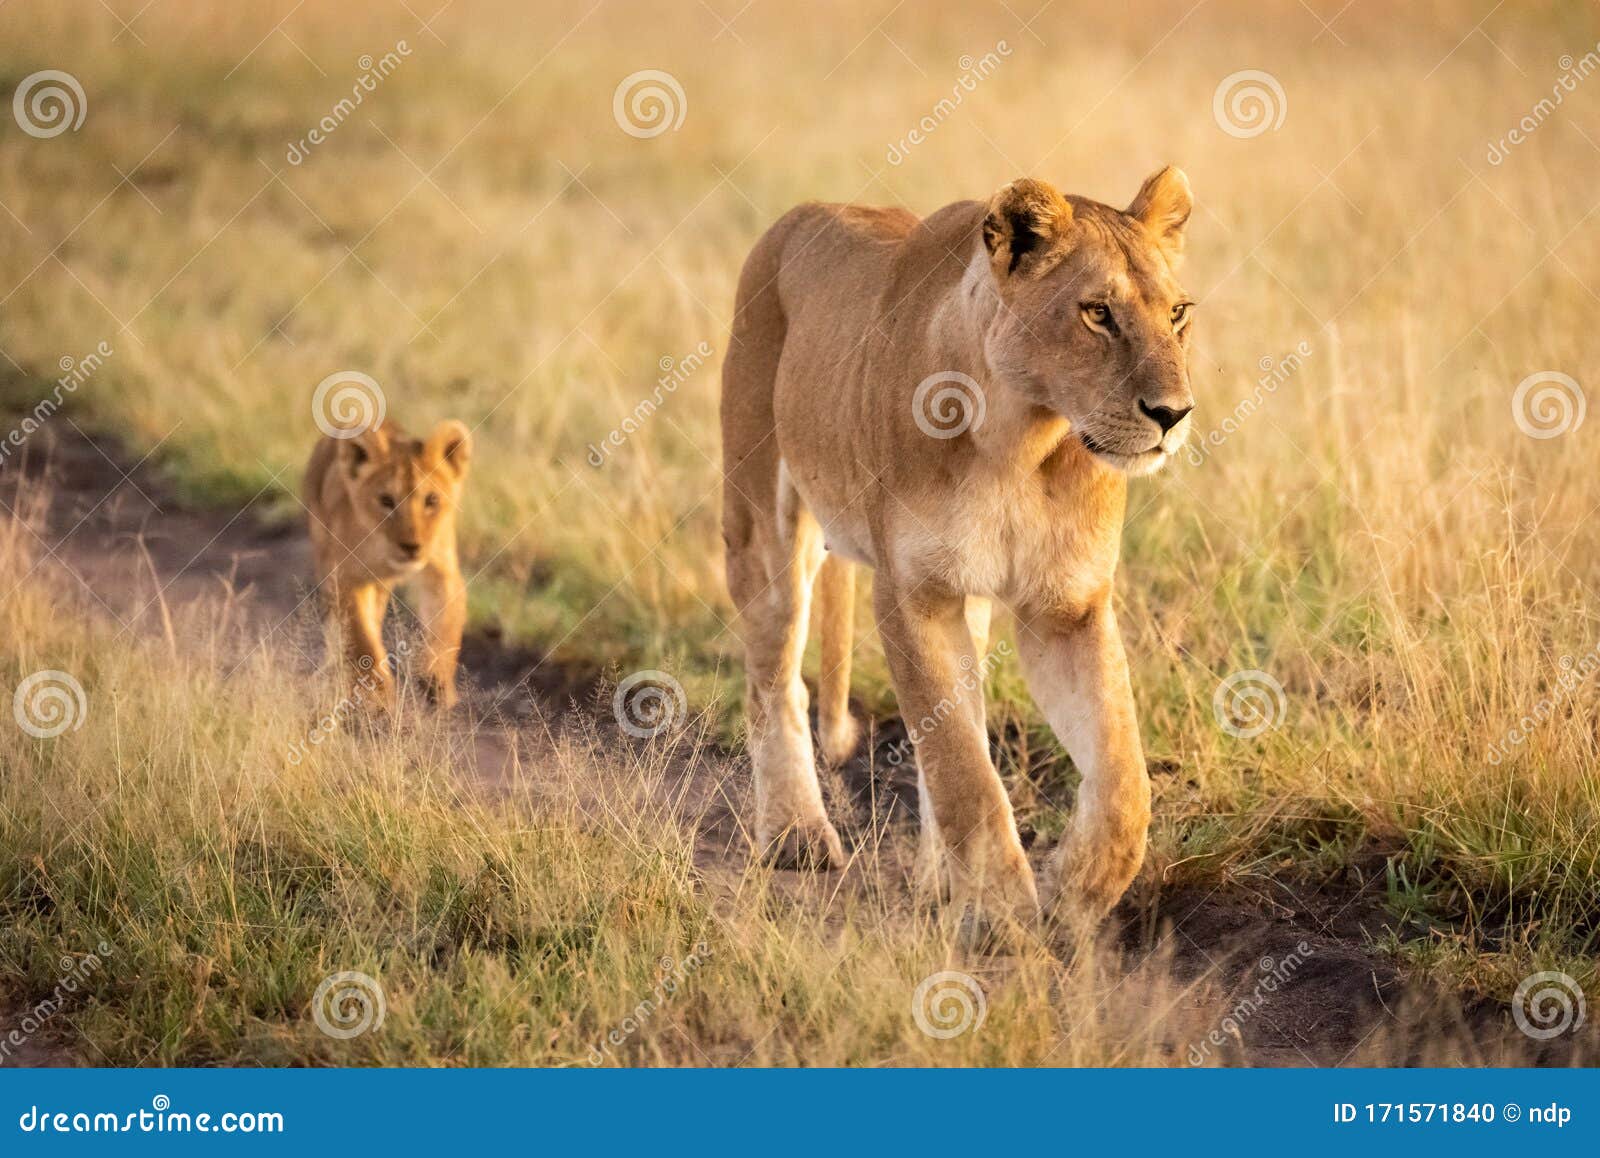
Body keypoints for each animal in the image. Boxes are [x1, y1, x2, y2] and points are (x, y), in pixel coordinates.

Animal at [303, 418, 473, 711]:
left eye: (431, 500)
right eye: (386, 501)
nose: (411, 546)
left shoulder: (441, 569)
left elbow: (446, 625)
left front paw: (437, 681)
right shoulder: (345, 575)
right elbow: (361, 638)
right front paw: (377, 693)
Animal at [720, 168, 1196, 939]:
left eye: (1178, 313)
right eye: (1097, 313)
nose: (1173, 414)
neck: (1022, 438)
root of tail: (801, 215)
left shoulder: (1066, 607)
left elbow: (1123, 776)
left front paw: (1073, 892)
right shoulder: (912, 595)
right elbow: (964, 772)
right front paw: (1002, 912)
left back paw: (937, 878)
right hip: (763, 530)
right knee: (776, 679)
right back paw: (796, 835)